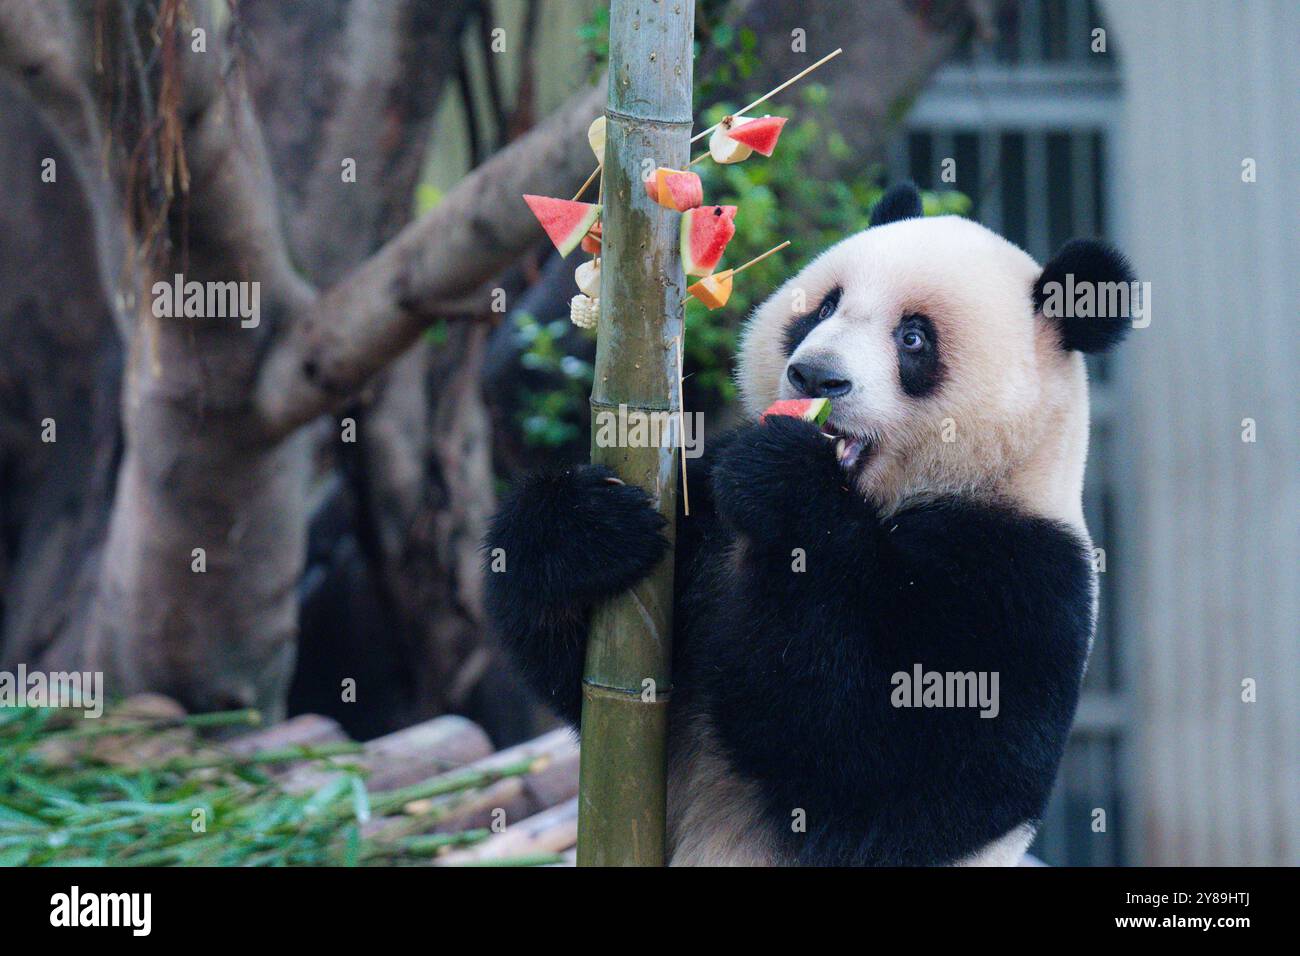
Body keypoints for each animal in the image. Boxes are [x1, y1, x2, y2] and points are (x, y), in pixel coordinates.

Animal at [484, 182, 1135, 866]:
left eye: (913, 338)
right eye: (823, 307)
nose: (815, 376)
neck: (884, 501)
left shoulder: (1021, 574)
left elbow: (890, 757)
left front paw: (785, 486)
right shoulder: (705, 515)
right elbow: (589, 682)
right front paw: (586, 529)